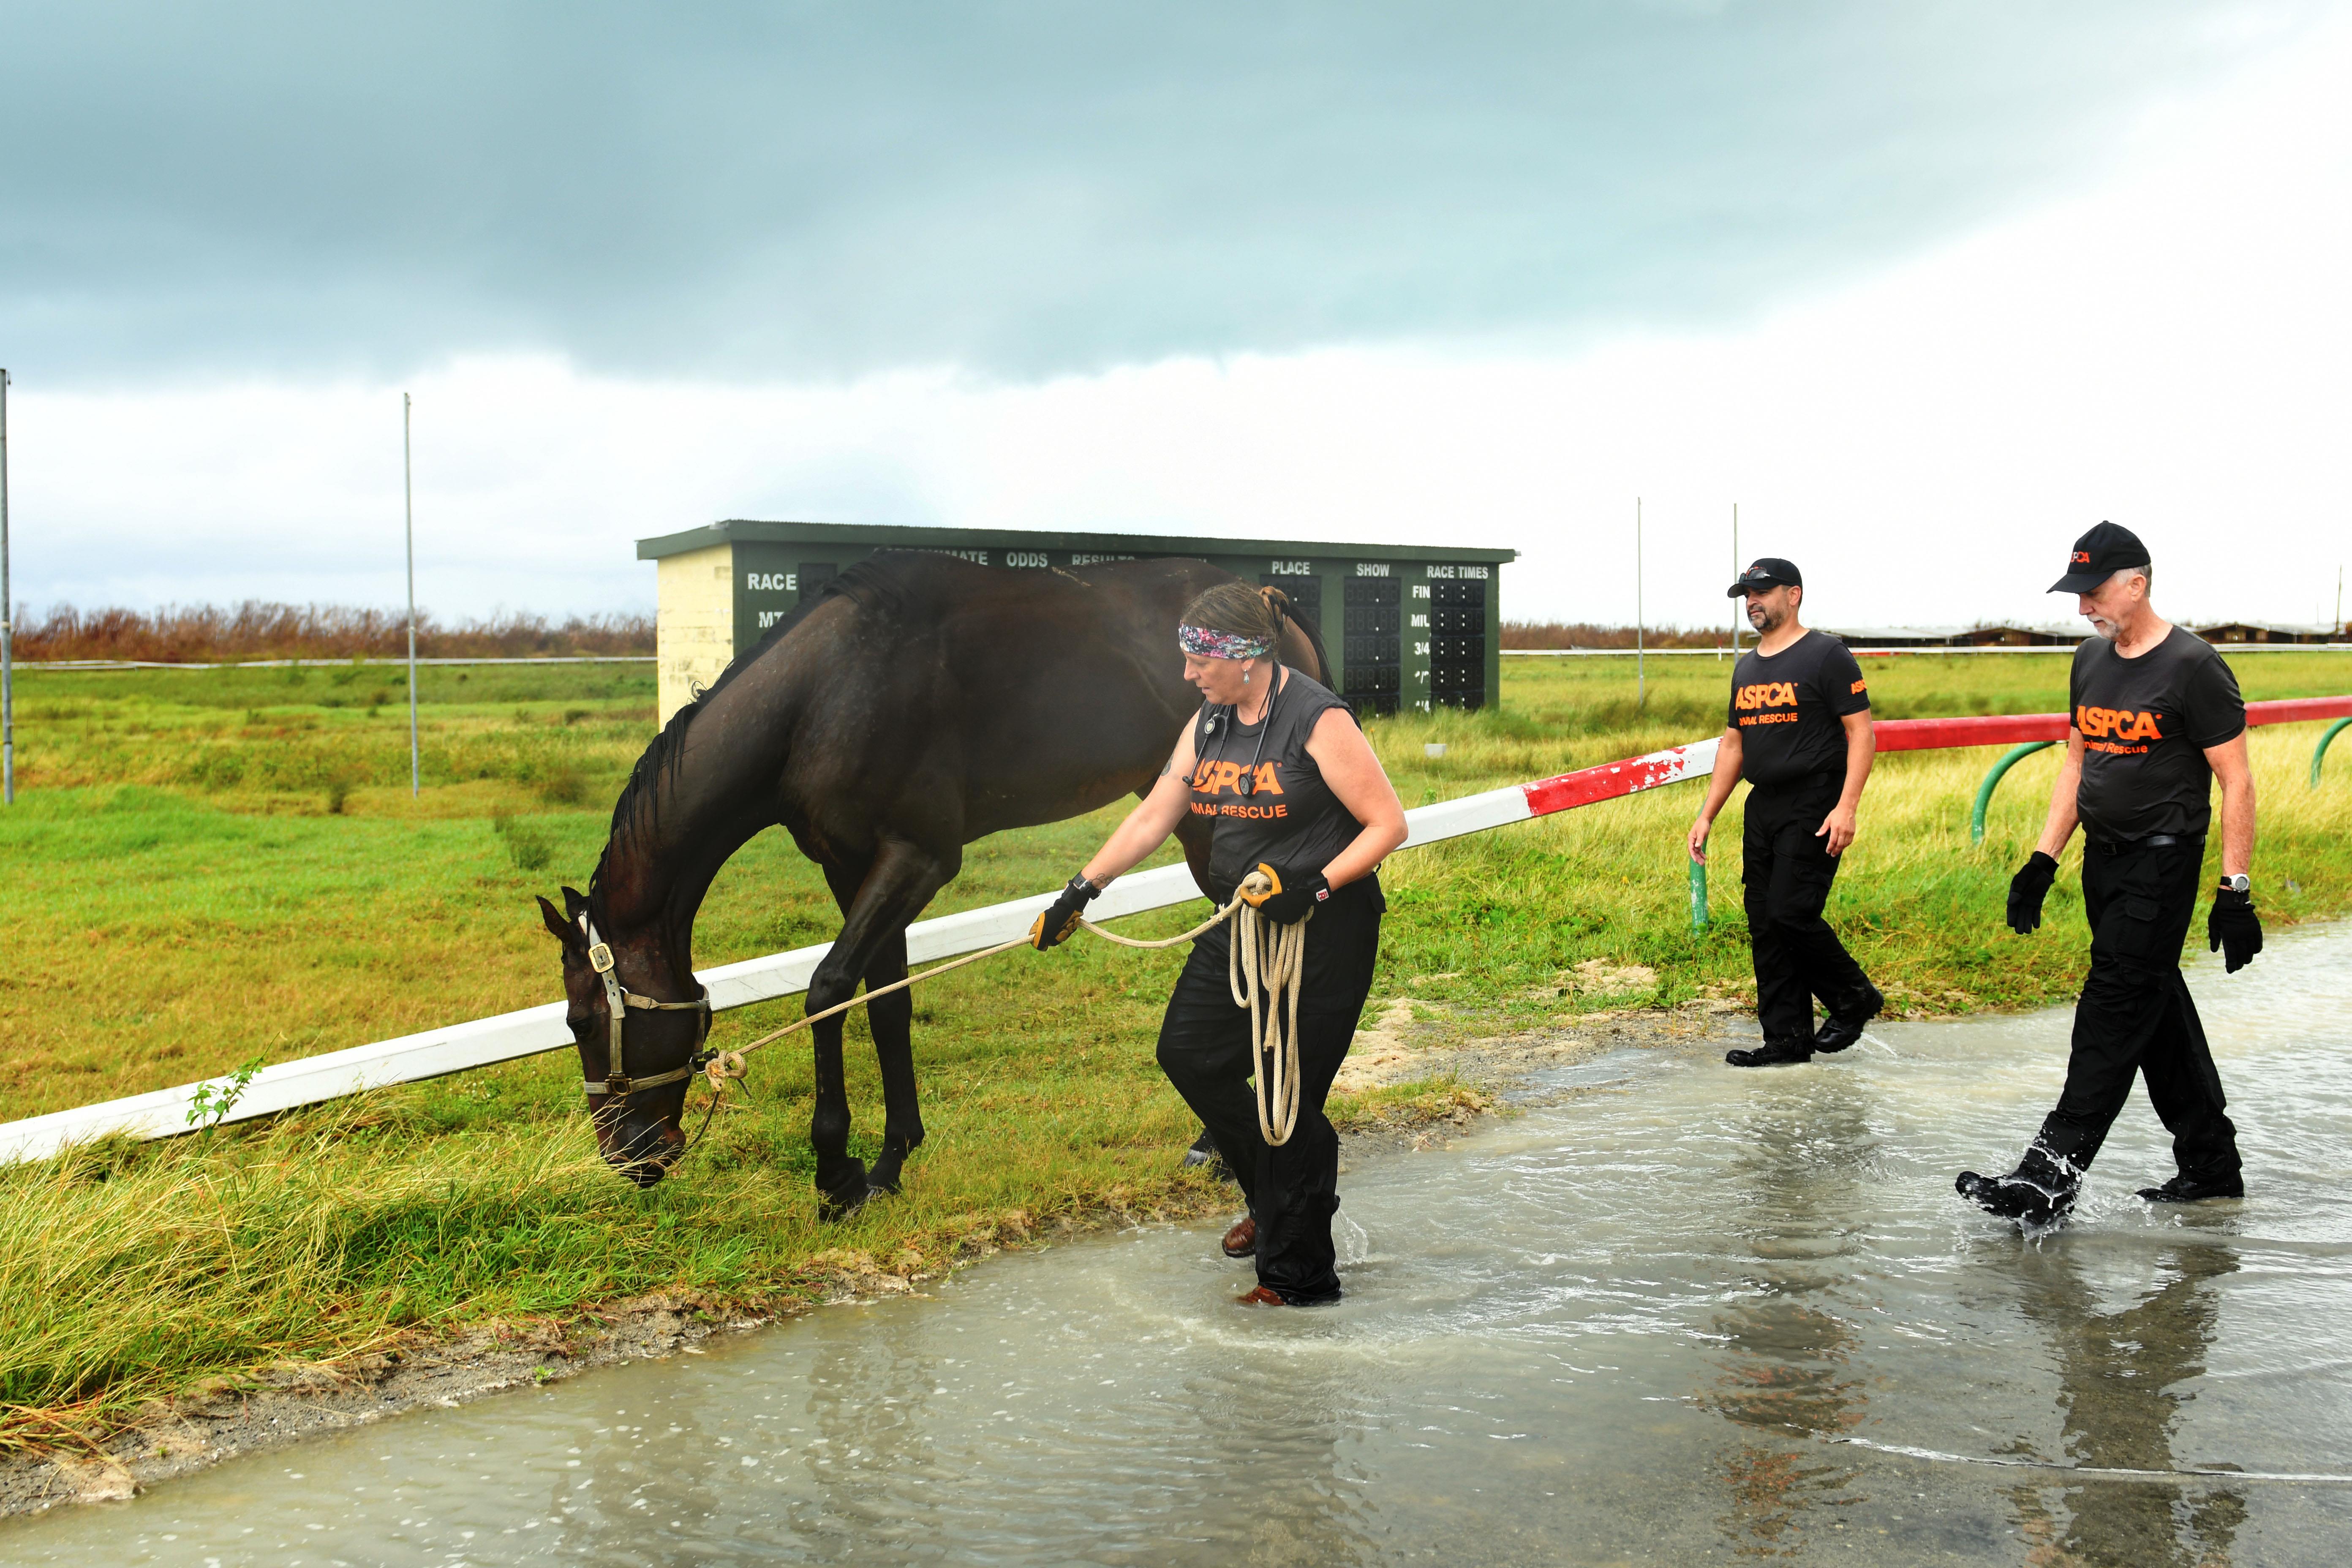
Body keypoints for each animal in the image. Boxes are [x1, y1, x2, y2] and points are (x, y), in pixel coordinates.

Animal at [536, 551, 1332, 1214]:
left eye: (584, 1023)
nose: (629, 1157)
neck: (823, 693)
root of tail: (1270, 602)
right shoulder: (849, 865)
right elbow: (885, 1002)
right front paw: (889, 1164)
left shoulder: (918, 858)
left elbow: (827, 991)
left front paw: (836, 1174)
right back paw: (1215, 1136)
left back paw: (1229, 1137)